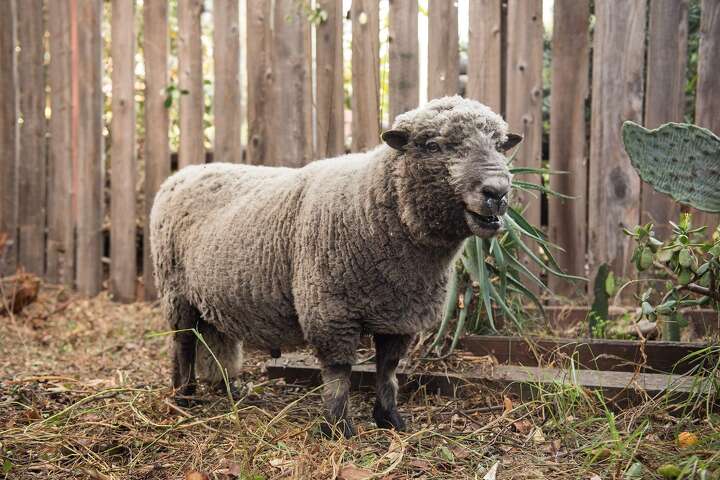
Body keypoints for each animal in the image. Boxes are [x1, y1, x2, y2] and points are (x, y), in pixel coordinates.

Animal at [150, 95, 521, 437]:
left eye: (500, 145)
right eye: (433, 146)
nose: (496, 193)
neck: (373, 205)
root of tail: (182, 174)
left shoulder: (400, 315)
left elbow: (388, 369)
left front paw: (390, 420)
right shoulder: (329, 311)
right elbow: (340, 373)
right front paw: (339, 428)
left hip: (211, 295)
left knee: (214, 341)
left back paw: (228, 389)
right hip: (175, 291)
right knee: (183, 343)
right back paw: (184, 395)